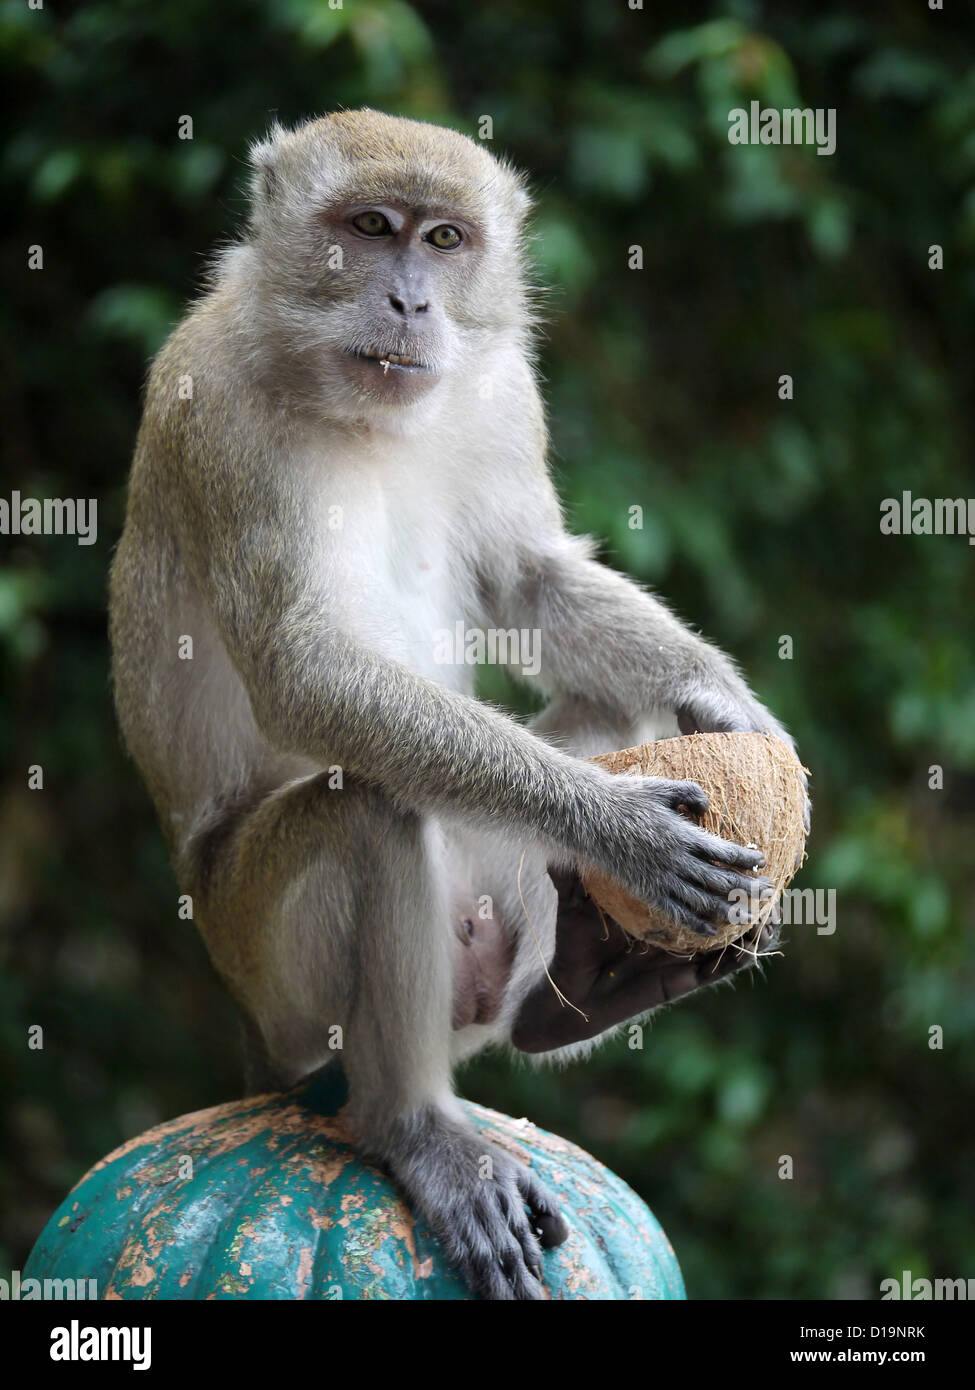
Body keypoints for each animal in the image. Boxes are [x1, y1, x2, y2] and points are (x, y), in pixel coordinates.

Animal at [108, 110, 805, 1301]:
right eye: (368, 228)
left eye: (443, 239)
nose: (409, 302)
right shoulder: (219, 405)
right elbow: (304, 670)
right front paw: (615, 826)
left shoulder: (499, 388)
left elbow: (530, 574)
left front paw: (721, 695)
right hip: (264, 964)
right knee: (367, 810)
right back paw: (413, 1126)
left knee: (608, 712)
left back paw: (585, 980)